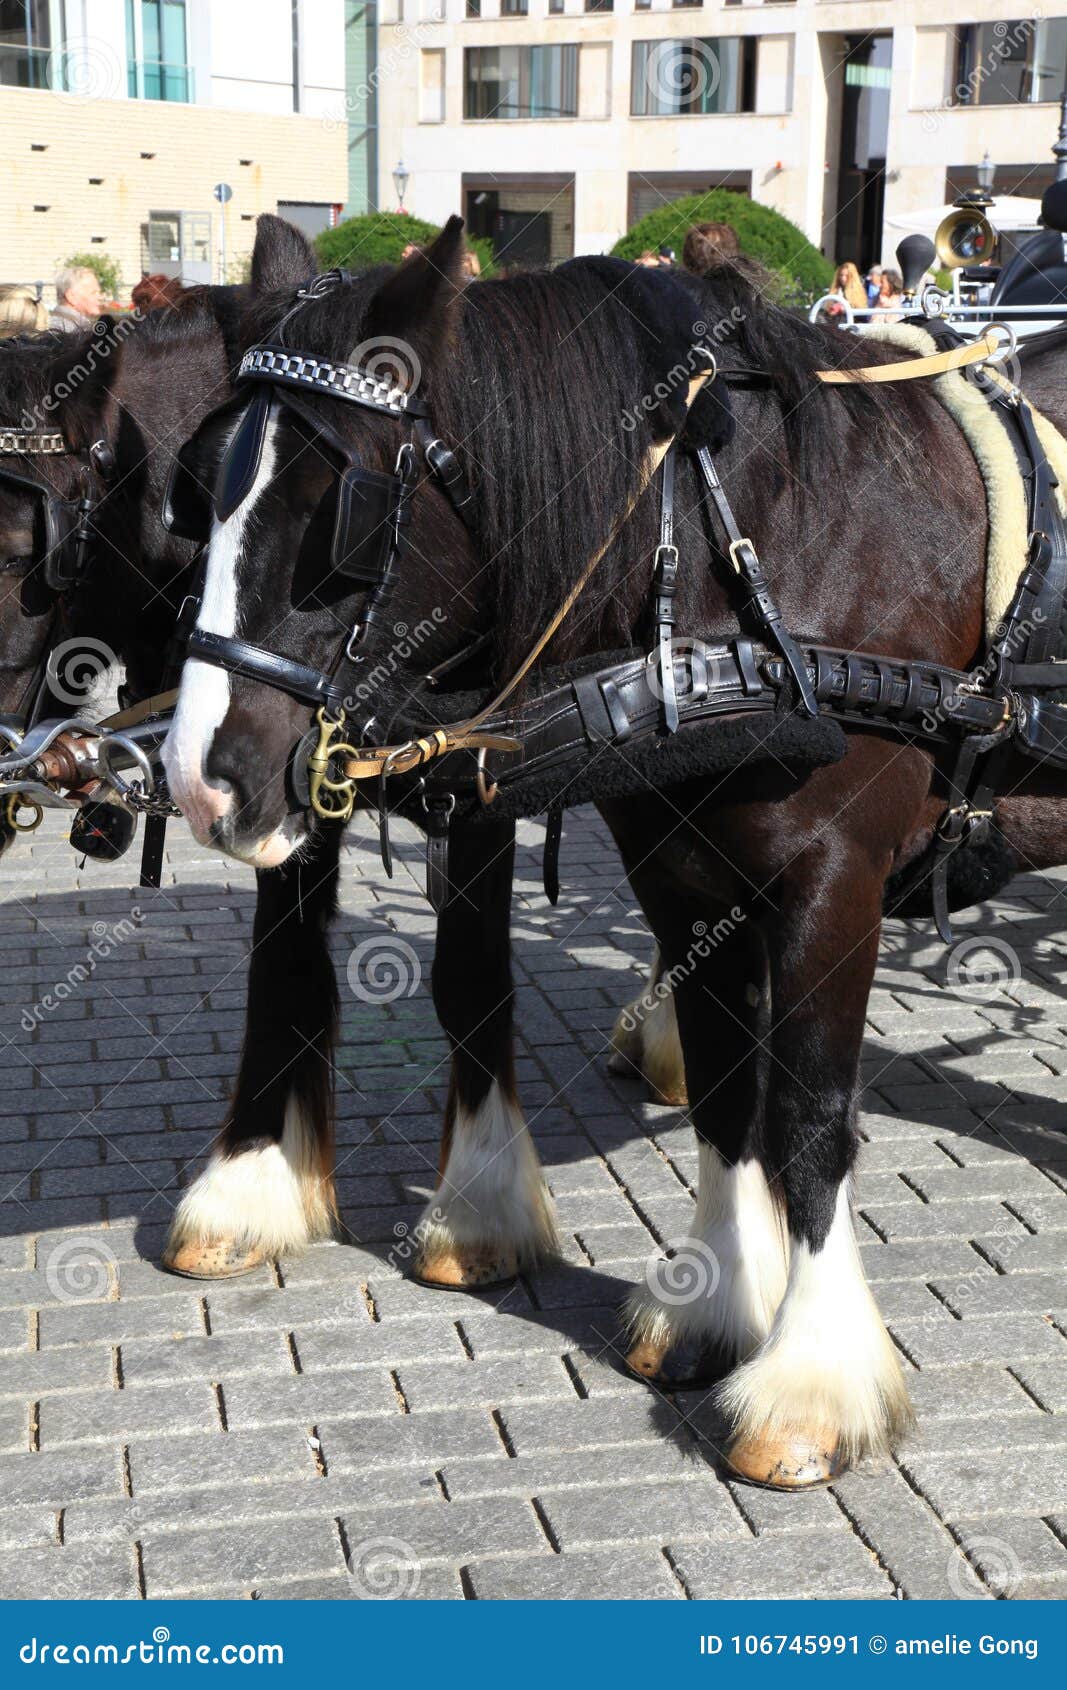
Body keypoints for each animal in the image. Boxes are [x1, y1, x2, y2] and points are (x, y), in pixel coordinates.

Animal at [153, 212, 1067, 1489]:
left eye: (343, 510)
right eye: (199, 489)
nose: (199, 778)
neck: (751, 552)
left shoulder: (832, 883)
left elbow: (807, 1123)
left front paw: (810, 1382)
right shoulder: (683, 878)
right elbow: (727, 1095)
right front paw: (714, 1309)